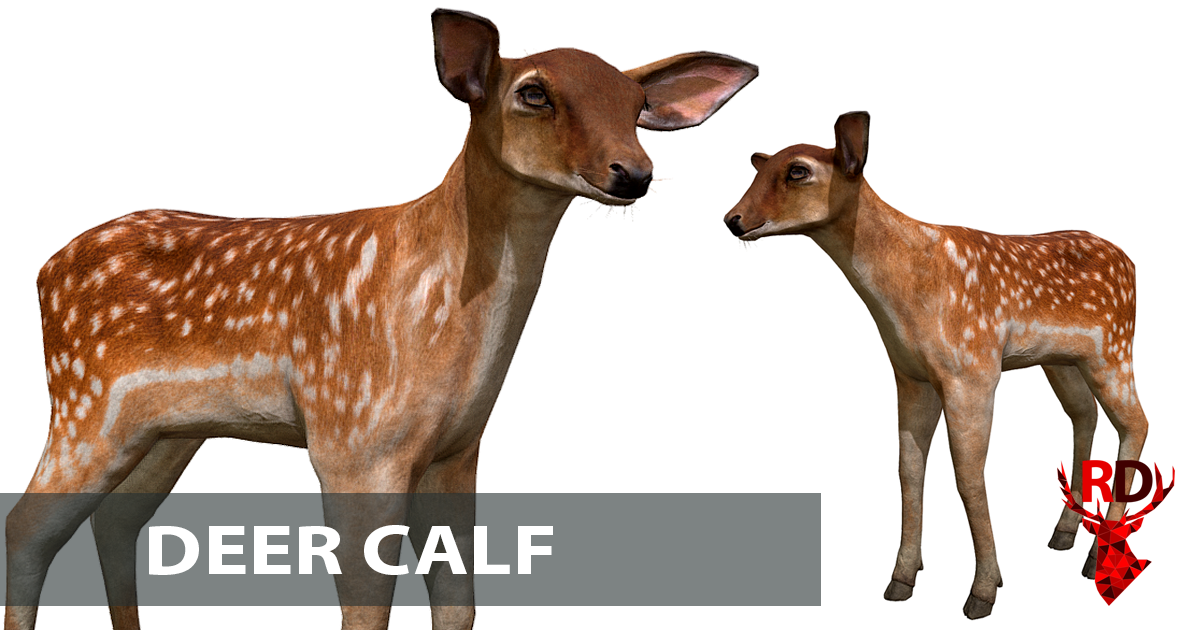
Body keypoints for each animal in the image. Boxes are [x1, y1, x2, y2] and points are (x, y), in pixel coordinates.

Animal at [4, 9, 757, 630]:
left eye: (635, 104)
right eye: (533, 92)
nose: (633, 172)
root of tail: (43, 270)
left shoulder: (456, 447)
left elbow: (458, 601)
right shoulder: (353, 438)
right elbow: (367, 603)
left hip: (167, 428)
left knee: (114, 522)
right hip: (86, 402)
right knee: (27, 529)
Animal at [723, 112, 1149, 619]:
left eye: (798, 170)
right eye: (760, 170)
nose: (733, 219)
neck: (907, 295)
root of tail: (1131, 263)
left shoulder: (972, 369)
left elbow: (967, 476)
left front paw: (983, 590)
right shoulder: (910, 375)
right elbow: (908, 470)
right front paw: (901, 577)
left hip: (1114, 346)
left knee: (1136, 422)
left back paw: (1098, 555)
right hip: (1063, 359)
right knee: (1085, 414)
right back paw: (1065, 534)